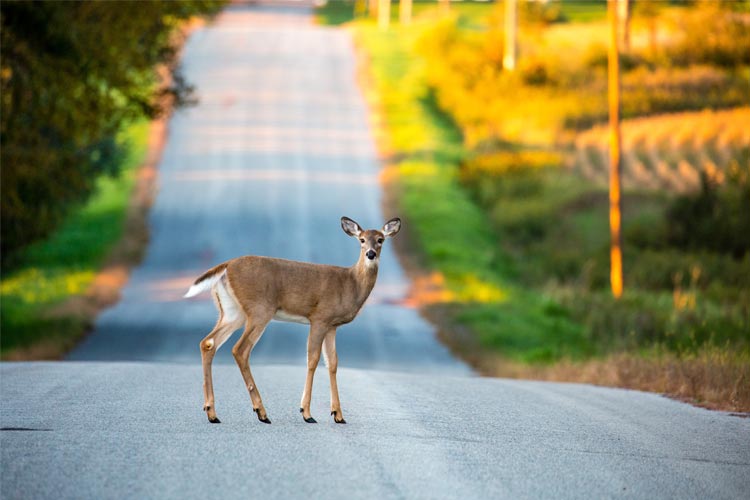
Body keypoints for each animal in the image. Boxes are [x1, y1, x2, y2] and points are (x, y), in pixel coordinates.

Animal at [185, 217, 402, 424]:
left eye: (380, 239)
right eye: (362, 240)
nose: (371, 254)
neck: (351, 284)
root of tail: (226, 266)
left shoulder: (332, 326)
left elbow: (332, 363)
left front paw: (338, 415)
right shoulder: (320, 317)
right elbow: (312, 360)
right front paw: (306, 413)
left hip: (232, 311)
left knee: (208, 343)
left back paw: (212, 413)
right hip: (260, 309)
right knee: (240, 349)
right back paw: (261, 412)